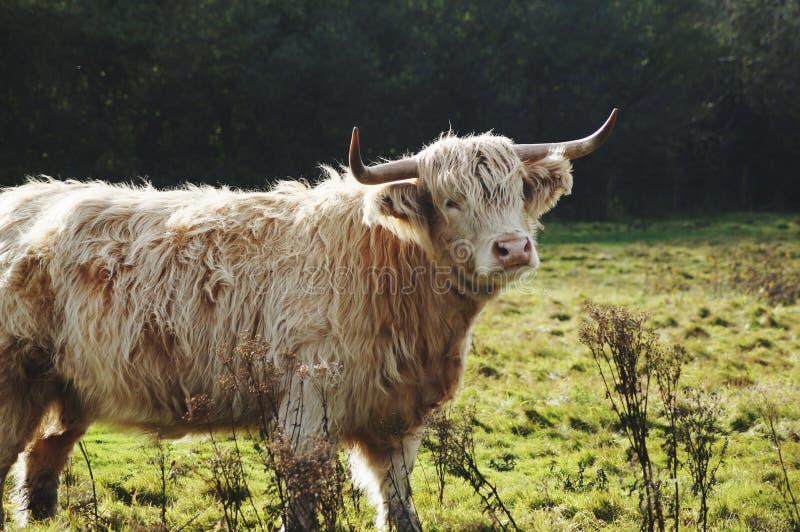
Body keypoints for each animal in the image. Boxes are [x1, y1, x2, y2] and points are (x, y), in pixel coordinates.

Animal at [0, 110, 616, 530]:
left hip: (68, 386)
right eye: (450, 201)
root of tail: (24, 196)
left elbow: (398, 499)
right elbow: (301, 506)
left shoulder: (397, 415)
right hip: (15, 382)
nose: (513, 249)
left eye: (515, 193)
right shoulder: (305, 406)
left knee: (42, 460)